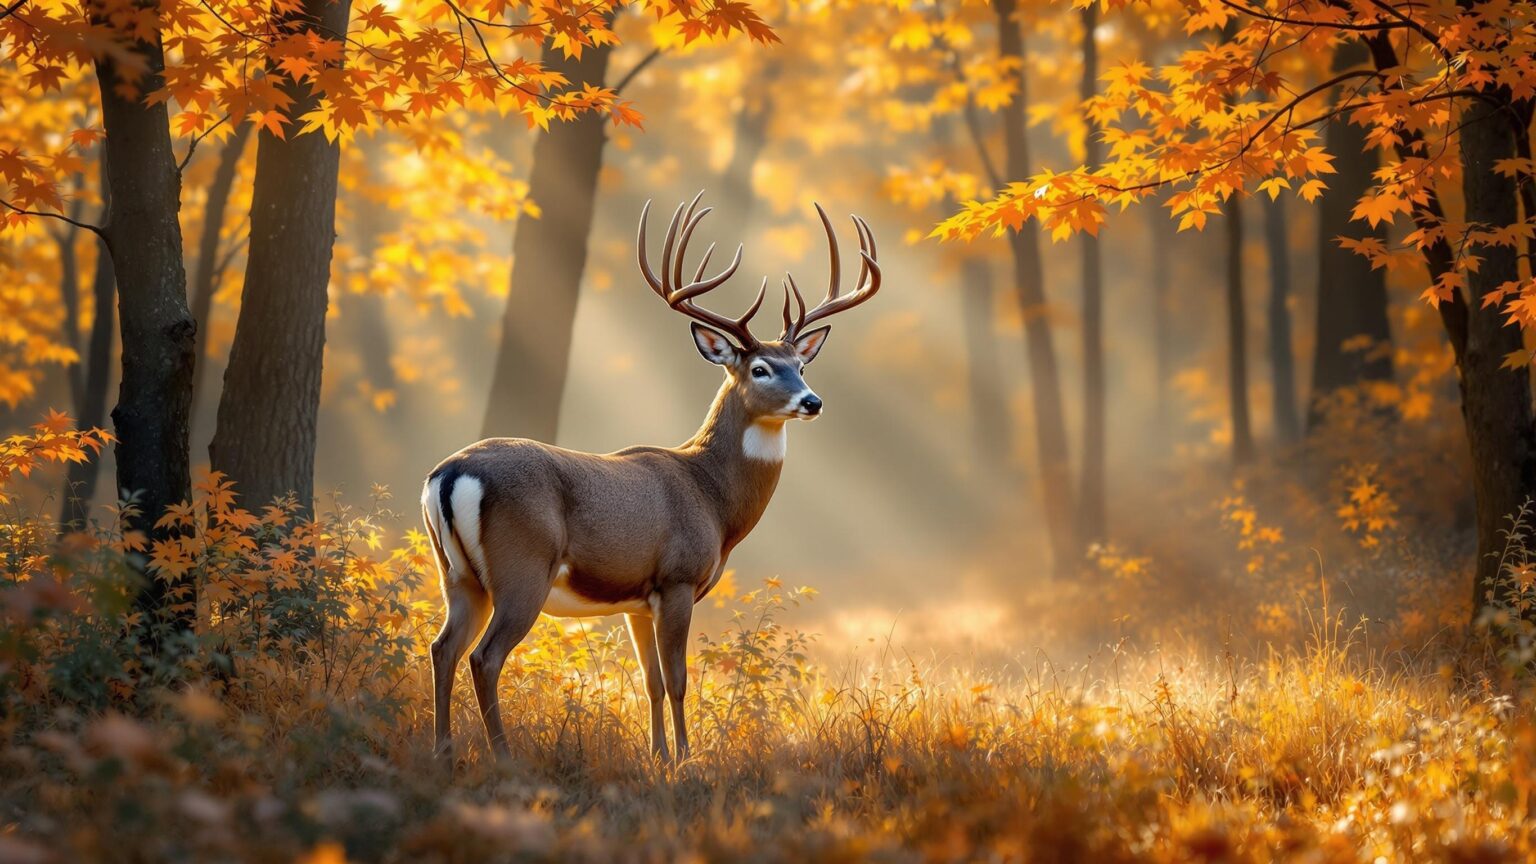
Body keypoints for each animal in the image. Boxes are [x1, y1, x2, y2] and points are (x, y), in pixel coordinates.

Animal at [420, 193, 882, 762]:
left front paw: (657, 755)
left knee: (442, 647)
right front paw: (686, 758)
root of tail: (449, 474)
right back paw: (503, 756)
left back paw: (441, 750)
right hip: (522, 568)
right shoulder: (676, 578)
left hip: (457, 574)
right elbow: (680, 678)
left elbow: (651, 681)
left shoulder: (638, 600)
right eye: (760, 369)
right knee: (483, 657)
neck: (713, 499)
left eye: (801, 365)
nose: (812, 401)